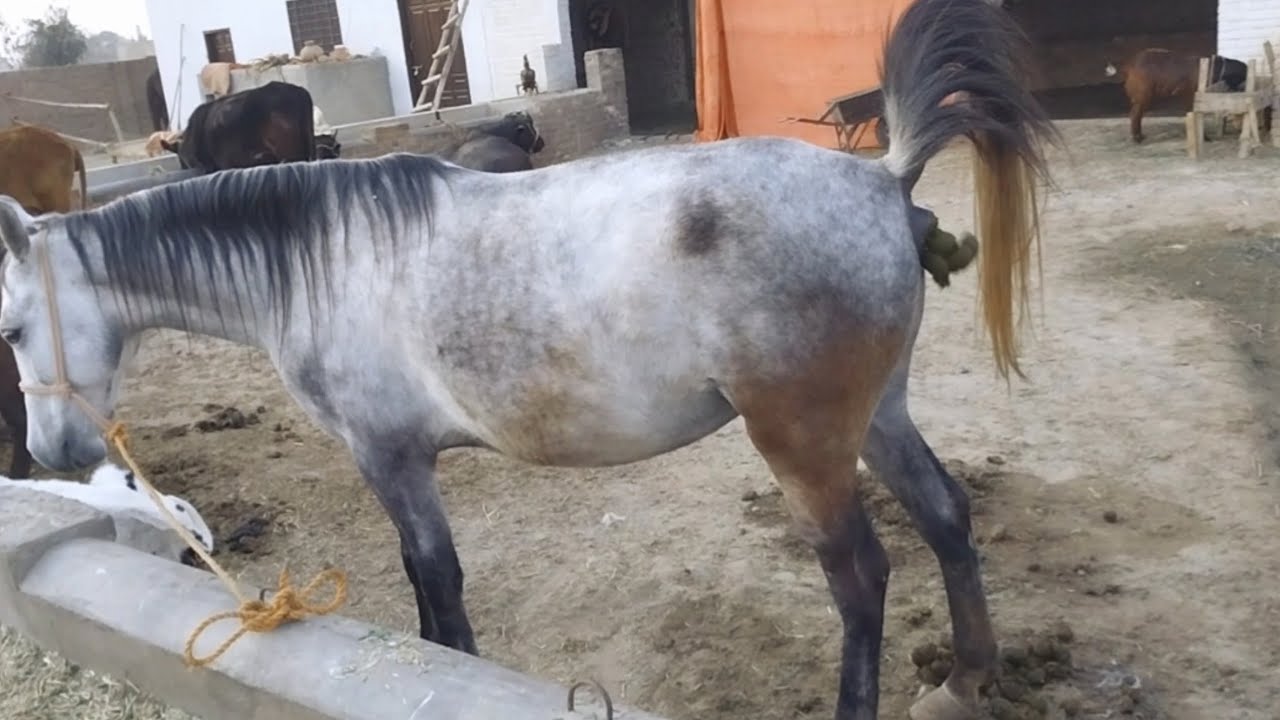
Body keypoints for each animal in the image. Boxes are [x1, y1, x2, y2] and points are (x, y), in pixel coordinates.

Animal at [0, 0, 1057, 717]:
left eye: (9, 329)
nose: (52, 450)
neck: (324, 257)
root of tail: (881, 180)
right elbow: (424, 574)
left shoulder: (390, 459)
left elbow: (436, 579)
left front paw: (449, 664)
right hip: (878, 416)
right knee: (946, 516)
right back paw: (966, 678)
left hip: (804, 445)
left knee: (862, 577)